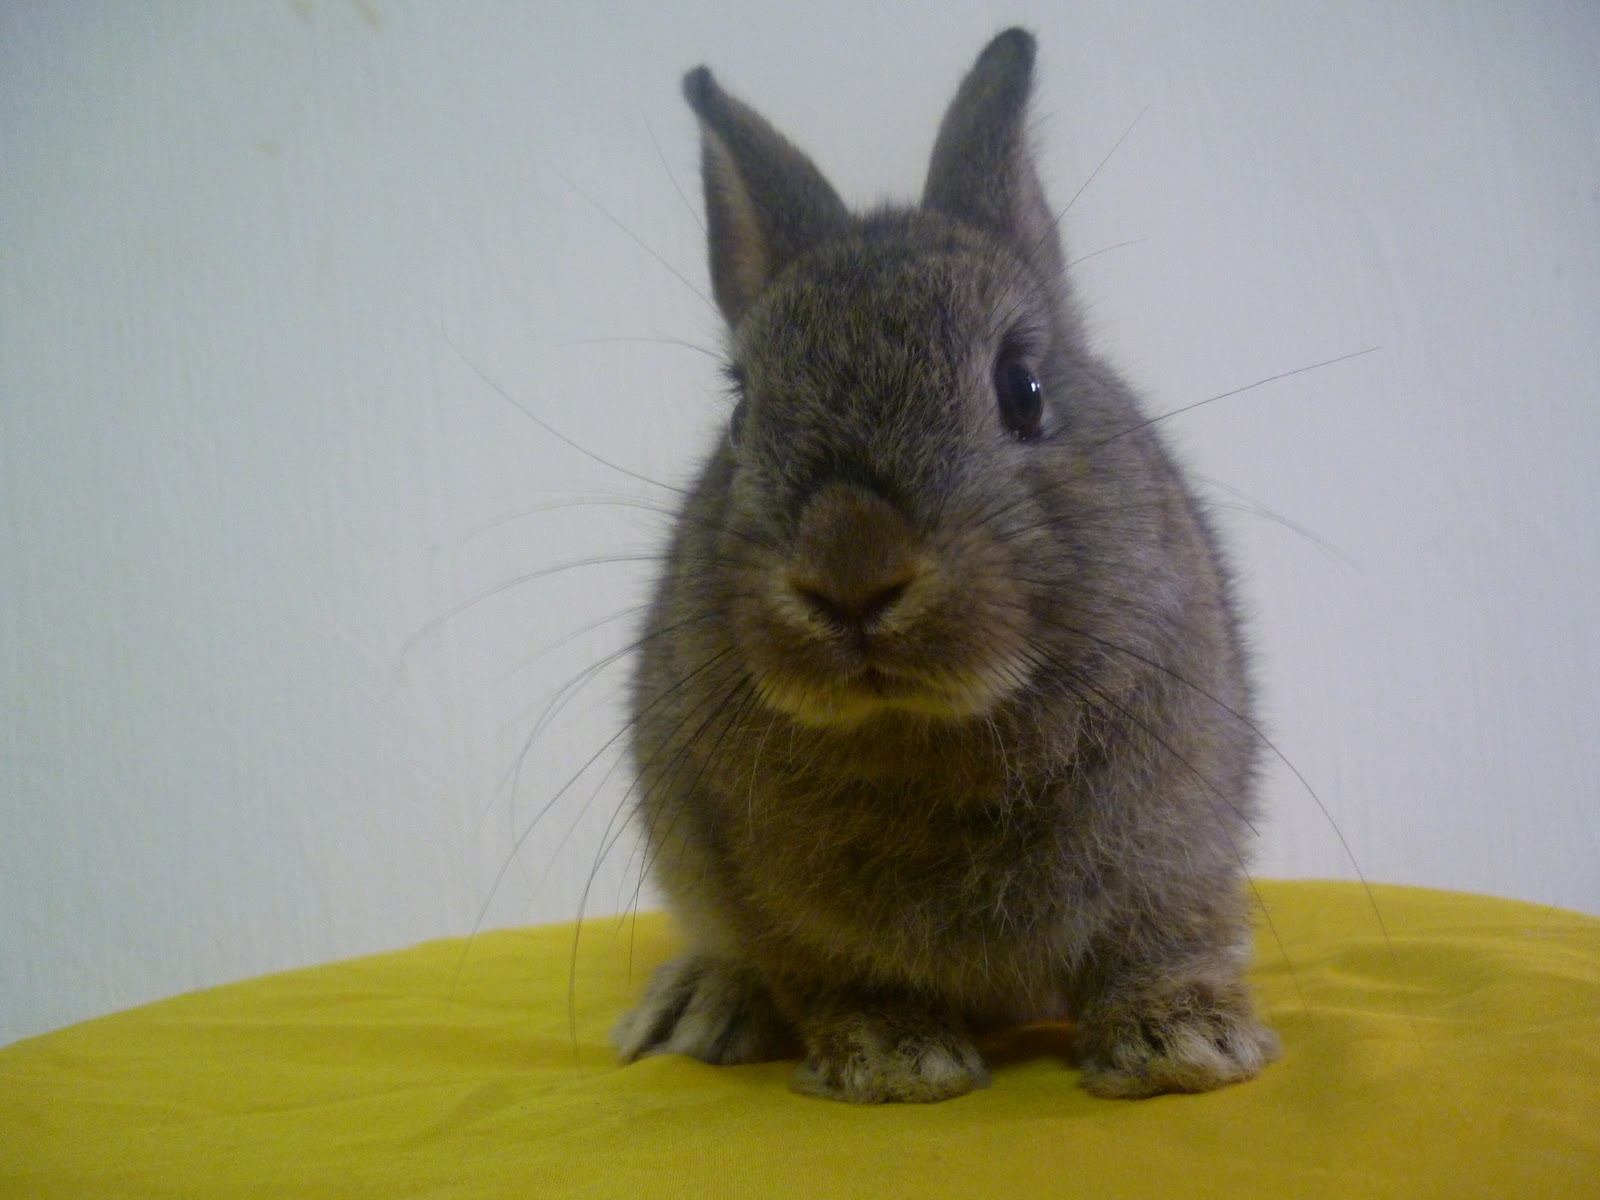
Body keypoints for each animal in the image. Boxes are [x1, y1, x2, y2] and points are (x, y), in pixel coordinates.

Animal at [611, 26, 1280, 1103]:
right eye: (741, 415)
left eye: (1024, 388)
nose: (850, 574)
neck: (920, 729)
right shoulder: (780, 910)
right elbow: (837, 976)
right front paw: (894, 1063)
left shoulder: (1175, 849)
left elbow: (1158, 940)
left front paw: (1180, 1045)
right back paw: (697, 1009)